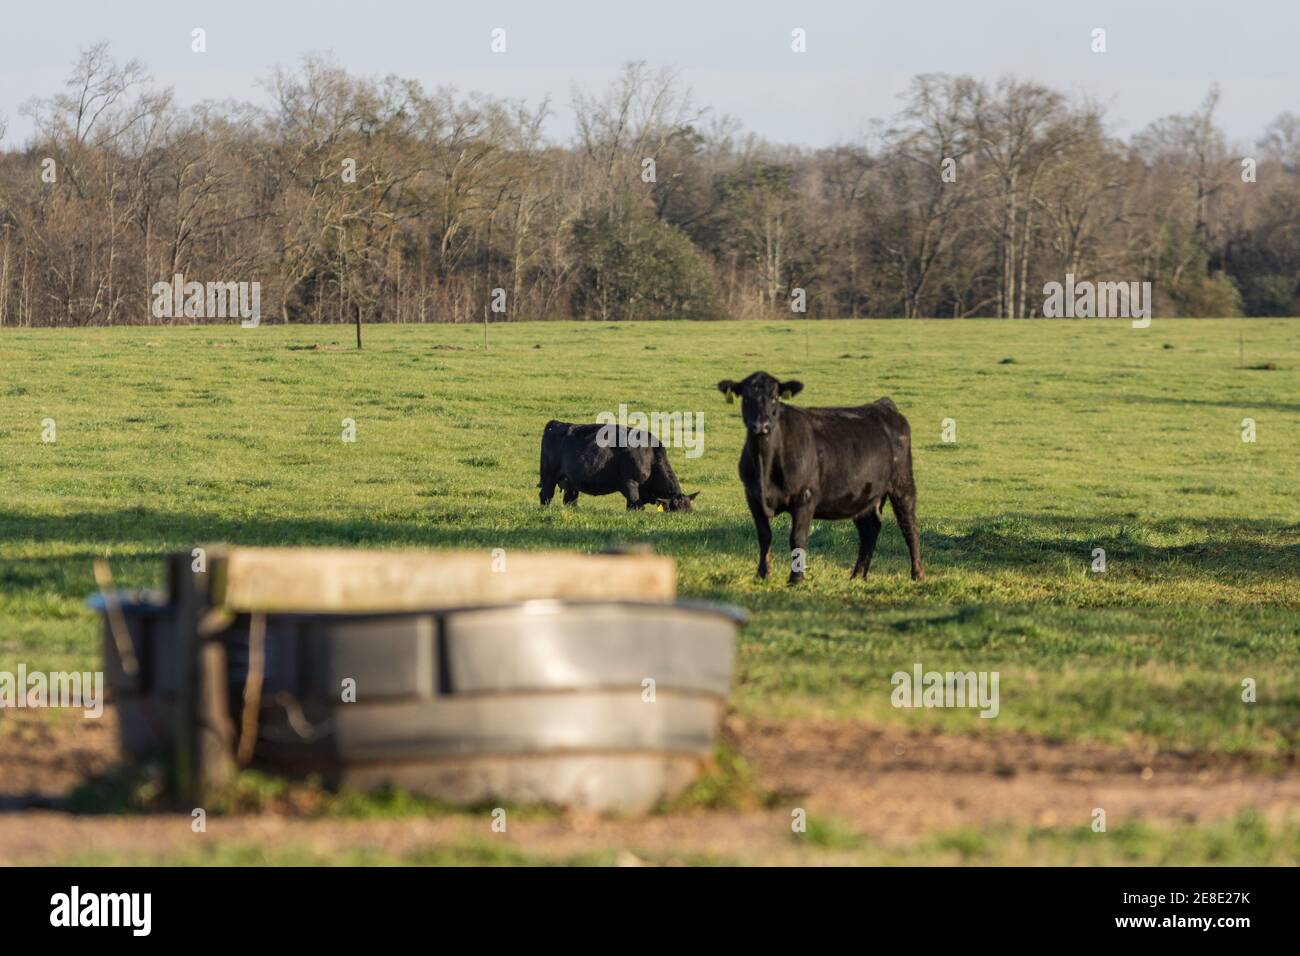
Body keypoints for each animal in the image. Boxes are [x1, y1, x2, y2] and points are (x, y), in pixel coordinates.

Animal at [538, 420, 699, 511]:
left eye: (689, 511)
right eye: (674, 511)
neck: (651, 455)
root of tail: (556, 424)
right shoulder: (629, 483)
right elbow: (636, 506)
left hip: (571, 483)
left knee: (570, 501)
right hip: (549, 476)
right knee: (545, 496)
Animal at [715, 371, 924, 584]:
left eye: (774, 397)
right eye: (746, 397)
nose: (761, 425)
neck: (765, 466)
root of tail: (882, 405)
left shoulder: (805, 496)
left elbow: (797, 538)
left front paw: (796, 579)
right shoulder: (752, 496)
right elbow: (764, 535)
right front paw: (763, 574)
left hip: (902, 483)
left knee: (909, 526)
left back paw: (917, 574)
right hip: (864, 496)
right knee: (869, 529)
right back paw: (857, 575)